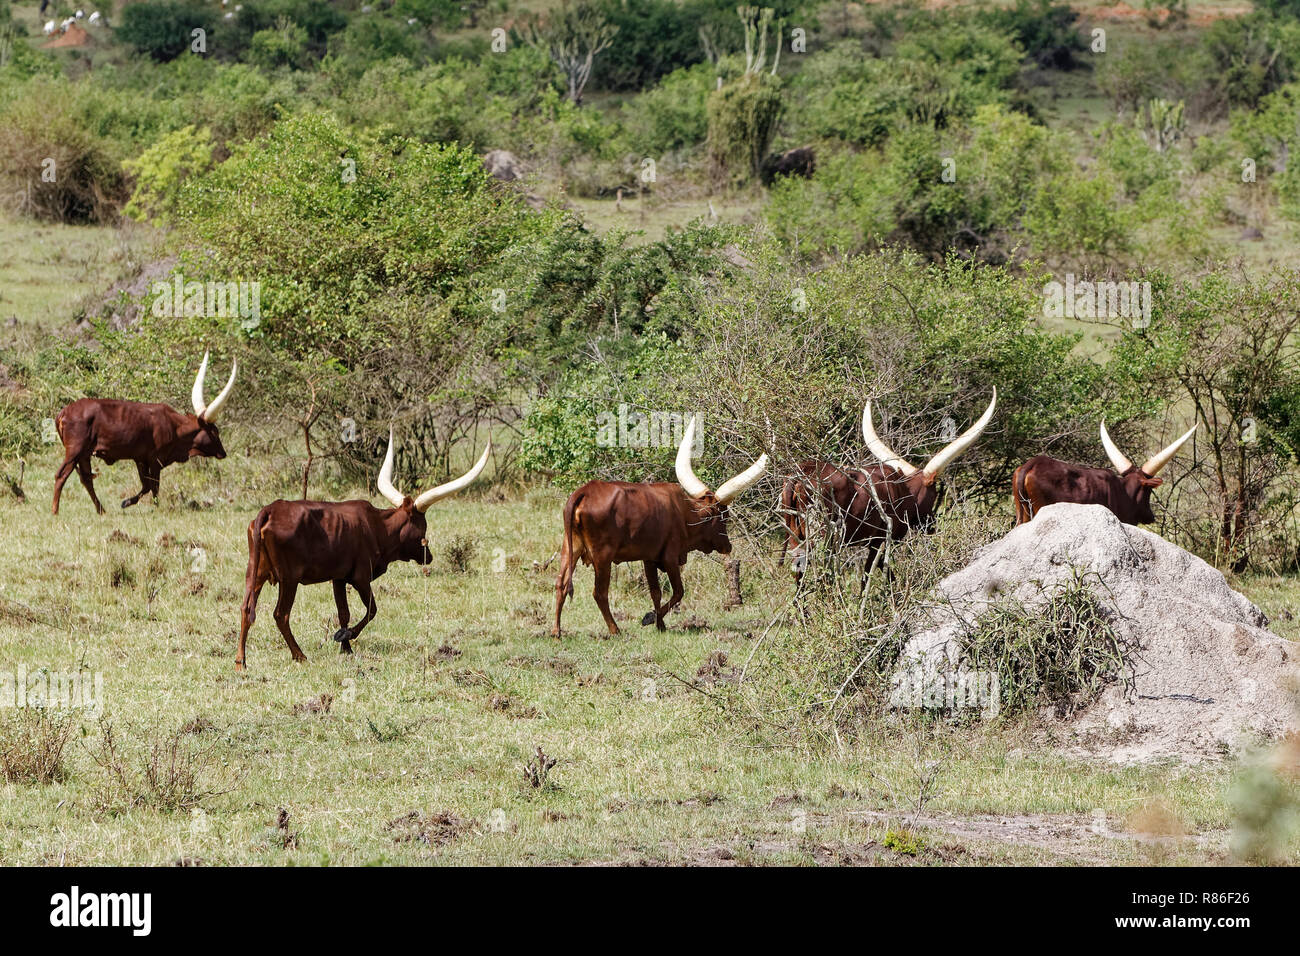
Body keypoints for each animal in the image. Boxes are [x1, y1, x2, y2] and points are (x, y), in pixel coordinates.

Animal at [52, 352, 237, 515]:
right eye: (214, 432)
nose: (223, 453)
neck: (175, 427)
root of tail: (64, 412)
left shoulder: (140, 460)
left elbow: (146, 485)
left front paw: (128, 502)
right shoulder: (156, 460)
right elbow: (154, 486)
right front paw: (154, 507)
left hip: (84, 454)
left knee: (86, 479)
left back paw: (101, 510)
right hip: (75, 451)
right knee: (61, 475)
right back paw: (55, 511)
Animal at [235, 430, 491, 671]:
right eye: (423, 527)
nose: (429, 556)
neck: (378, 526)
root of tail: (269, 510)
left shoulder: (338, 578)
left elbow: (344, 612)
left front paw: (346, 648)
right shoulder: (360, 577)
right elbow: (371, 610)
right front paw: (345, 636)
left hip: (255, 573)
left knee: (246, 609)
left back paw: (241, 661)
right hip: (289, 579)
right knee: (281, 614)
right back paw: (299, 655)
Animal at [552, 417, 767, 638]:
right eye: (724, 517)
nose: (728, 546)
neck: (684, 513)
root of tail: (584, 492)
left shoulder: (649, 558)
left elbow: (656, 592)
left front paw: (660, 624)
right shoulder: (670, 557)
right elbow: (678, 592)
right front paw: (650, 618)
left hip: (570, 548)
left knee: (561, 584)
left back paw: (556, 631)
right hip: (602, 556)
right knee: (599, 593)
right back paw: (615, 630)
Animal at [779, 391, 997, 584]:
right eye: (934, 495)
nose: (931, 526)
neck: (902, 491)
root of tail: (799, 476)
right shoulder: (878, 540)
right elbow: (870, 574)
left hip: (796, 536)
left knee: (797, 572)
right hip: (822, 537)